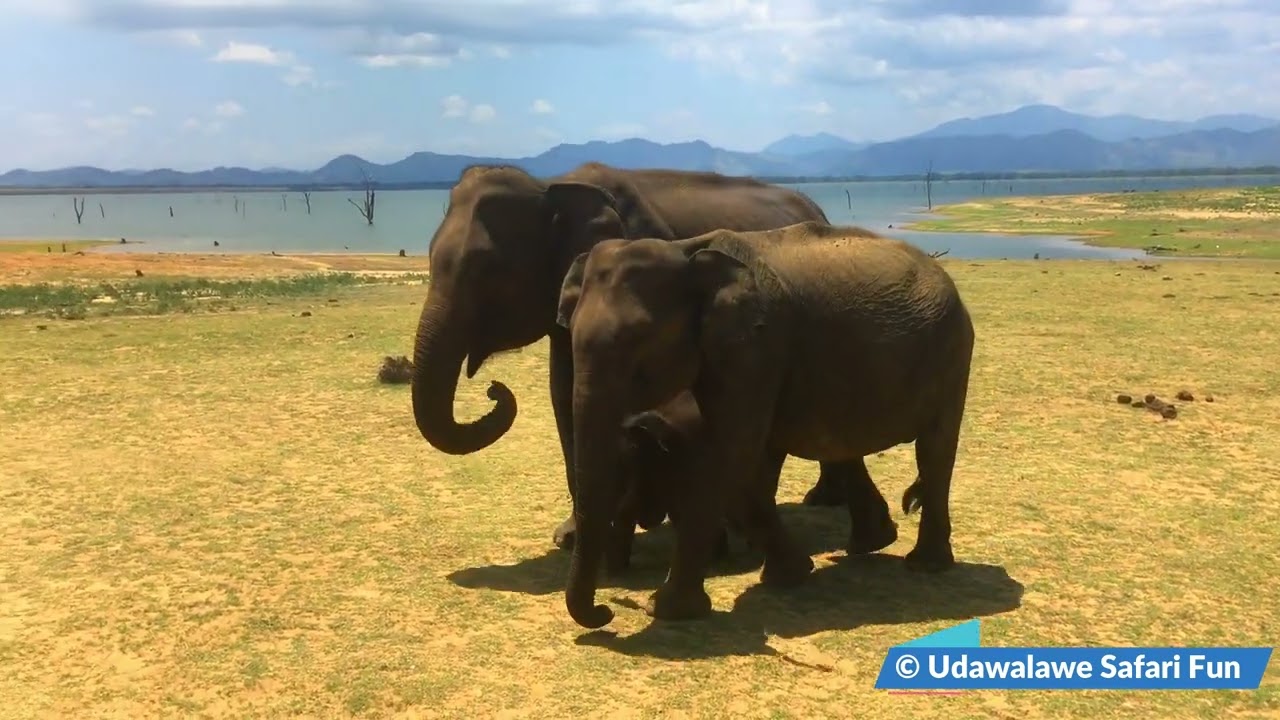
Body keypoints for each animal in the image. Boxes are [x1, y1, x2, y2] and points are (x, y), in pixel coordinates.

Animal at [409, 162, 899, 554]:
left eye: (487, 269)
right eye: (429, 257)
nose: (494, 390)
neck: (553, 184)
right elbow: (564, 394)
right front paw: (571, 537)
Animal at [554, 221, 975, 629]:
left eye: (640, 341)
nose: (607, 612)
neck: (687, 251)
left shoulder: (756, 347)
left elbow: (732, 454)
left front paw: (668, 609)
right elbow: (741, 462)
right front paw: (789, 574)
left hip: (952, 351)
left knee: (934, 450)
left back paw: (924, 564)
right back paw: (871, 544)